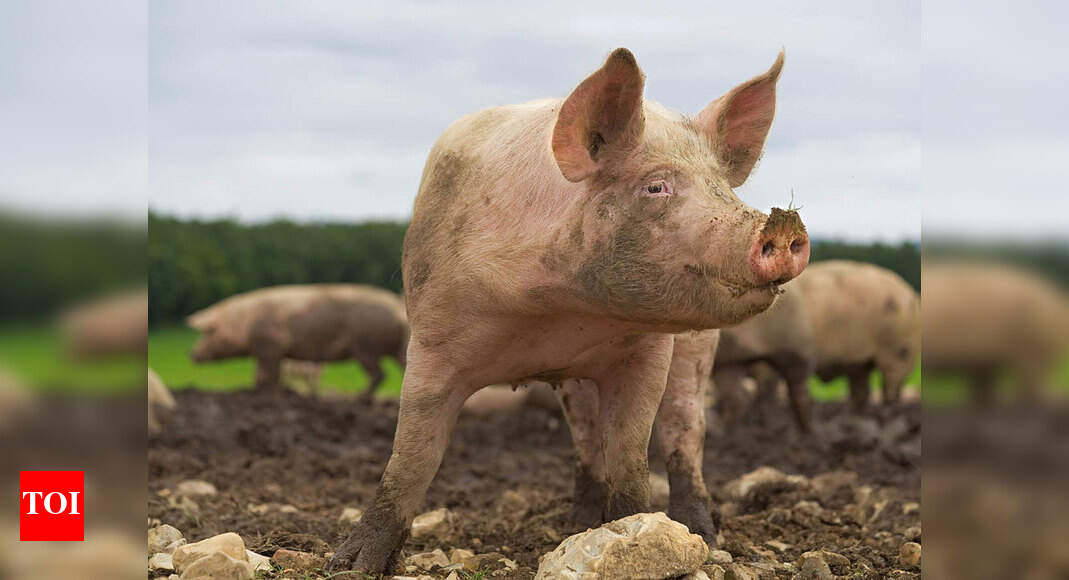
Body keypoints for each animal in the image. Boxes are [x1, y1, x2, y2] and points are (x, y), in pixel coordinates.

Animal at [187, 284, 408, 393]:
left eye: (209, 332)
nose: (191, 353)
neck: (245, 321)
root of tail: (398, 309)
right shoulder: (267, 352)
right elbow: (263, 376)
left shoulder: (270, 345)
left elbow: (267, 375)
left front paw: (263, 392)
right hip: (392, 347)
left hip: (365, 346)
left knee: (379, 374)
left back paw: (360, 400)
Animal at [714, 279, 817, 433]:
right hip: (730, 363)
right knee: (738, 397)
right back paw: (727, 432)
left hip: (795, 347)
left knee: (798, 392)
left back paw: (807, 434)